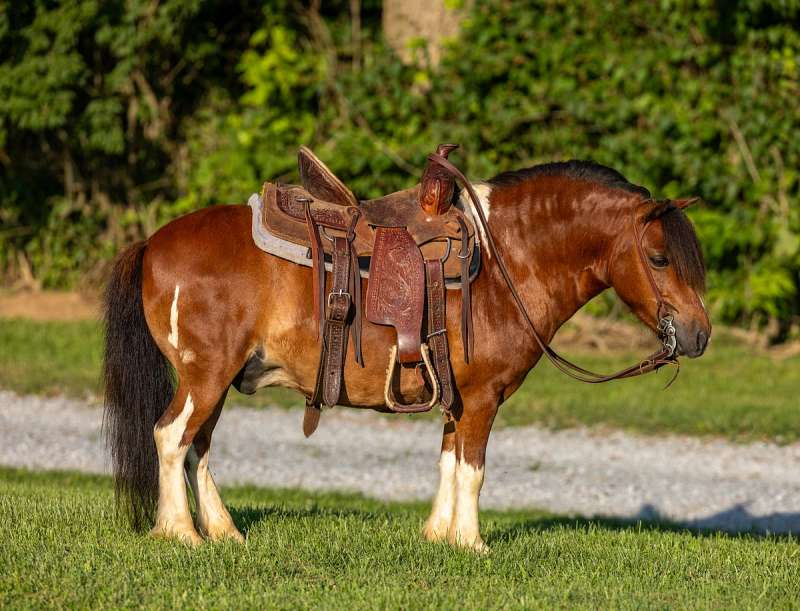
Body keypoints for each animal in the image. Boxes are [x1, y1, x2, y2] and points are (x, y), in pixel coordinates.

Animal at [103, 158, 710, 551]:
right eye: (660, 258)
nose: (699, 335)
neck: (506, 259)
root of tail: (153, 243)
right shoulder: (483, 398)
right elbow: (473, 470)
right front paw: (471, 544)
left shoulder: (458, 398)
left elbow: (447, 461)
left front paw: (439, 537)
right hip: (205, 376)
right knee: (170, 437)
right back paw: (181, 533)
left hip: (217, 380)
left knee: (198, 448)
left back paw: (223, 531)